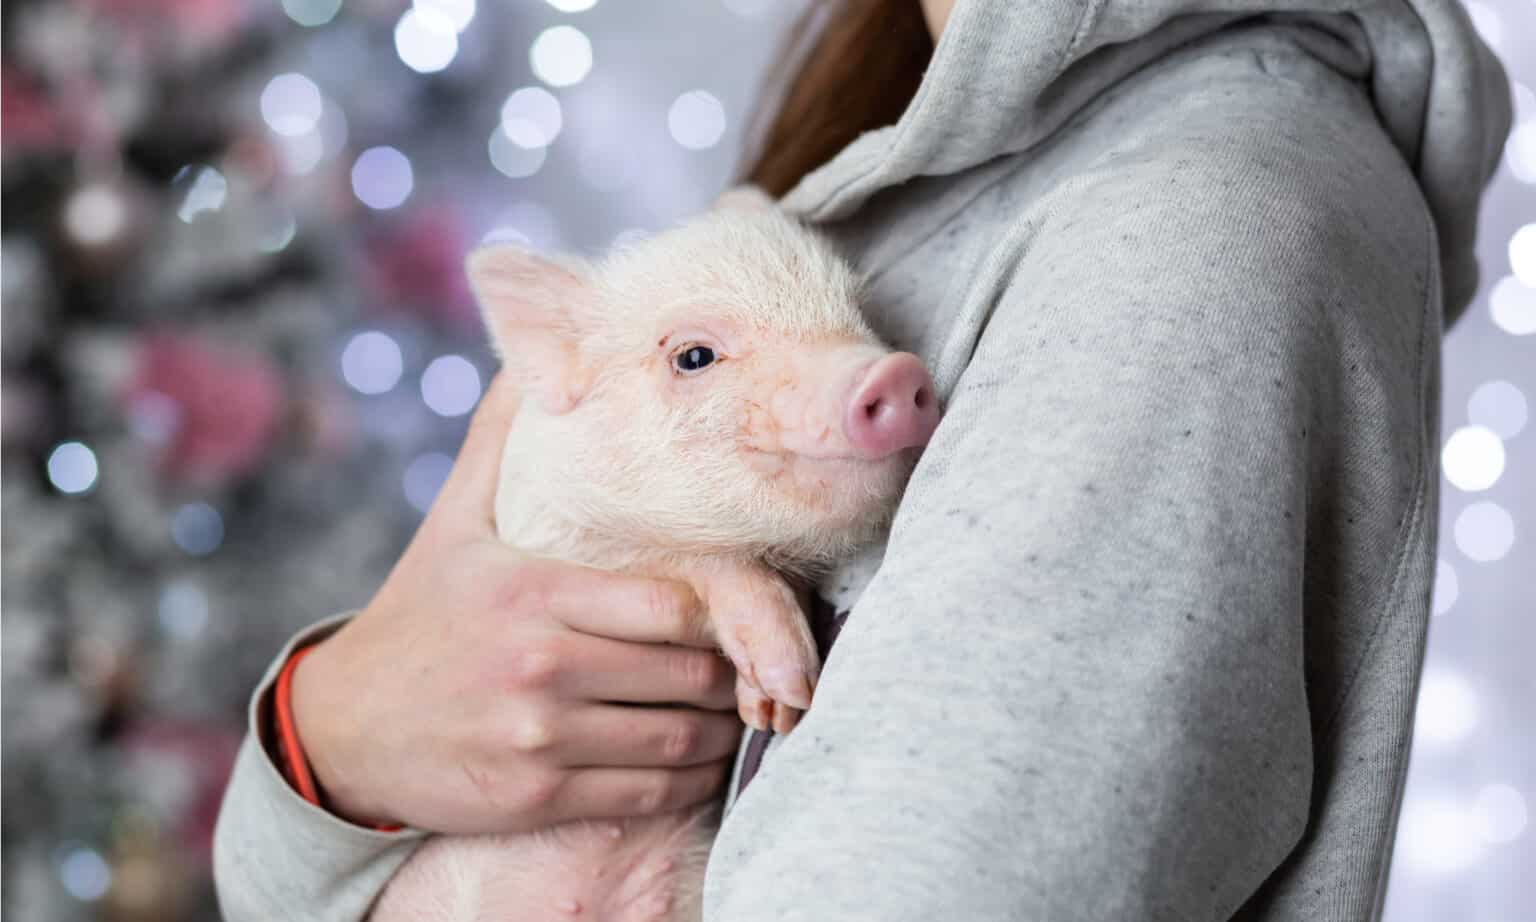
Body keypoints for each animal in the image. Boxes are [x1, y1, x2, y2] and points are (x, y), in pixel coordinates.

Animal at [370, 186, 941, 922]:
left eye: (859, 314)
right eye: (694, 356)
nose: (893, 373)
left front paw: (773, 708)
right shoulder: (555, 537)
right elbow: (704, 564)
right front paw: (787, 689)